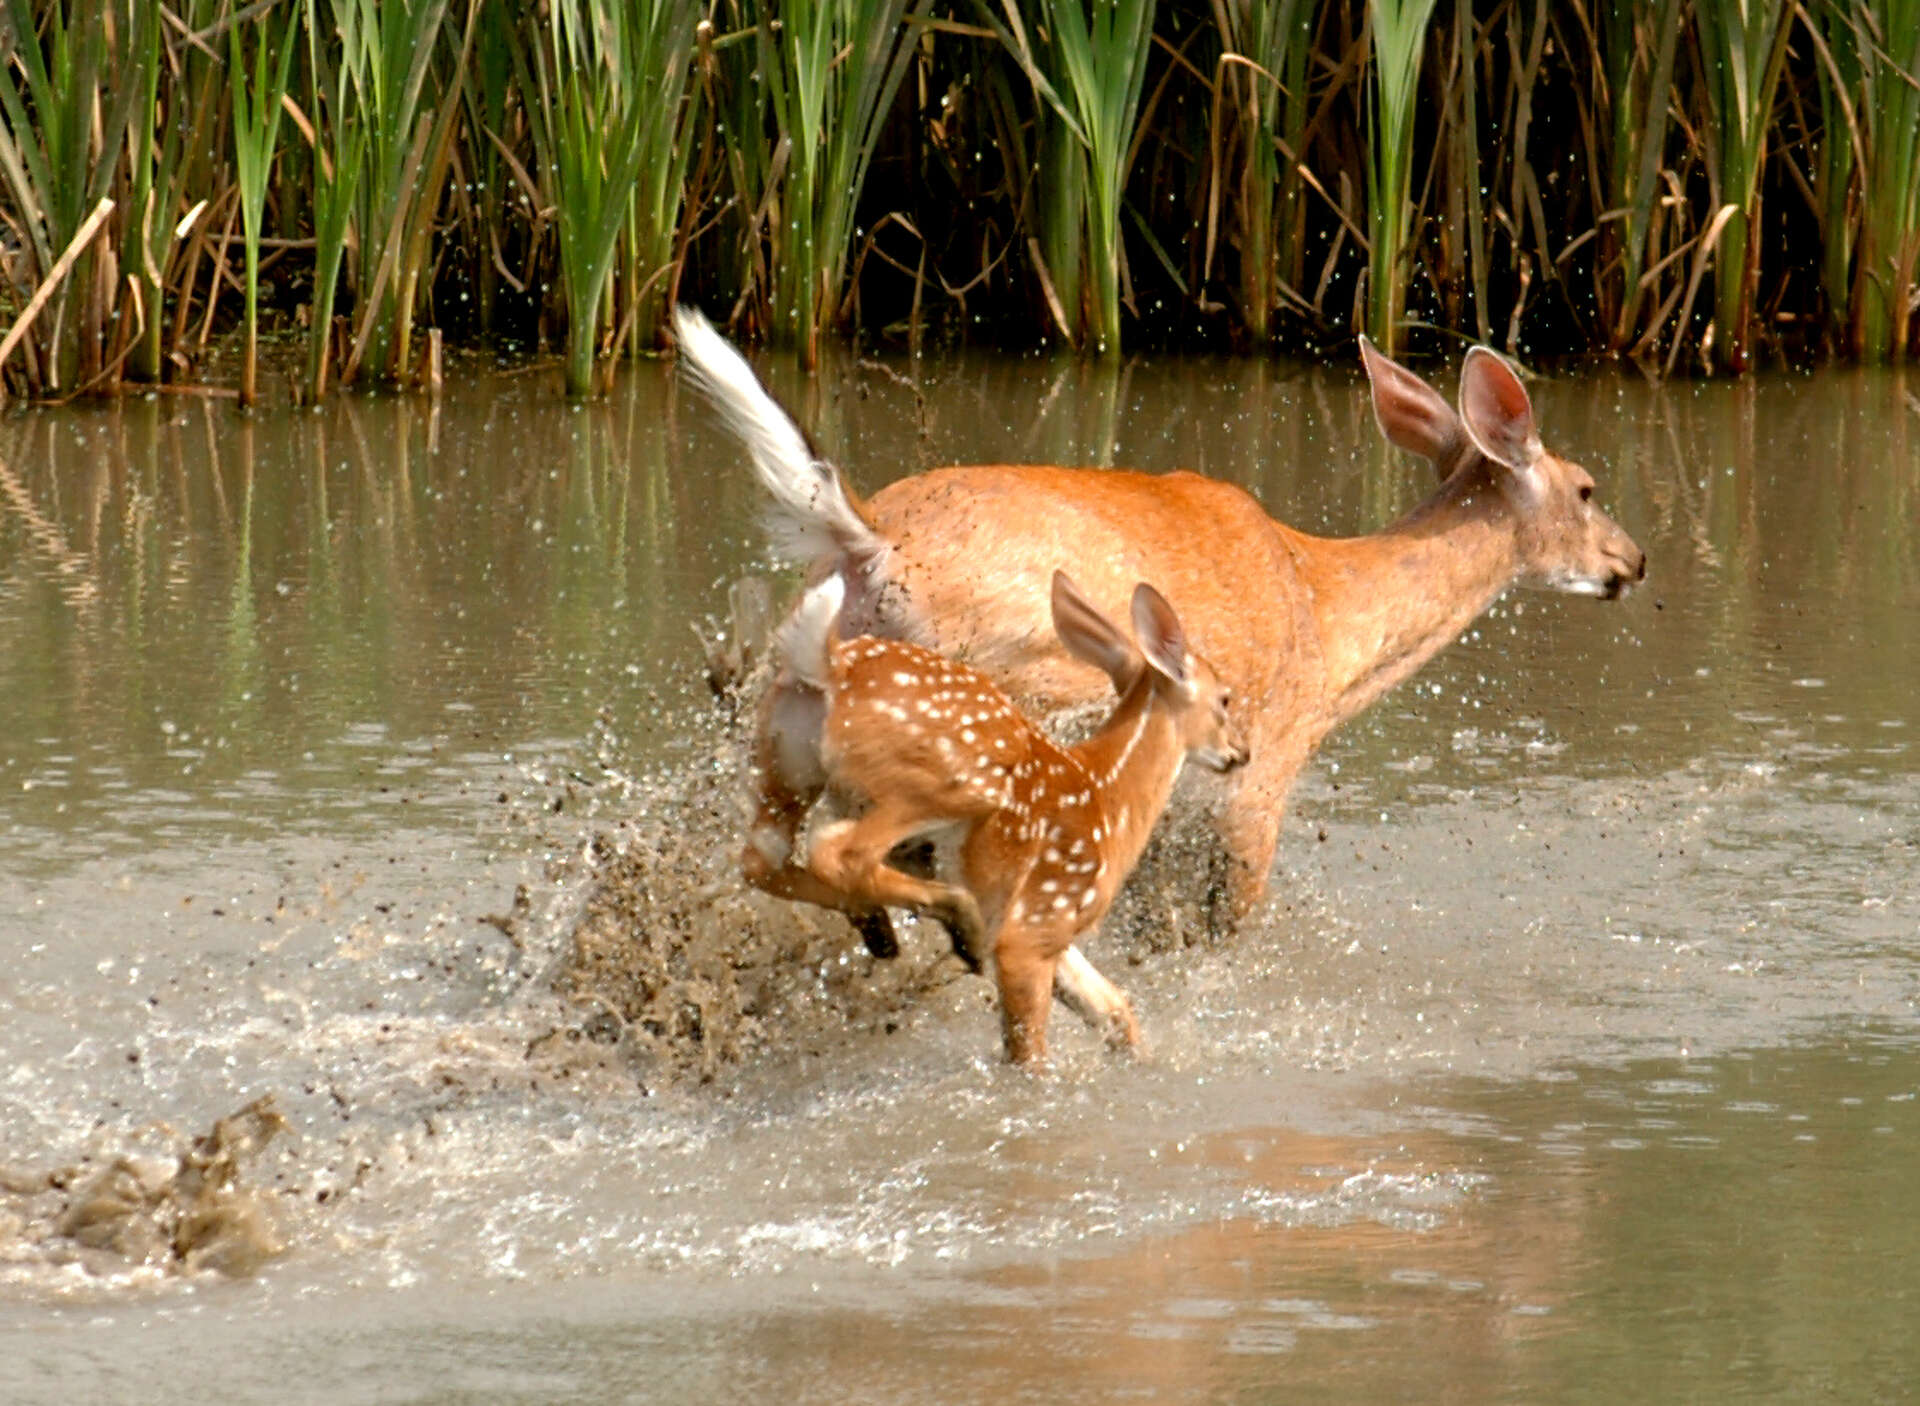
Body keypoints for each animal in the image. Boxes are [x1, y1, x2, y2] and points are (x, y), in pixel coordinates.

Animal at [743, 567, 1249, 1064]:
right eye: (1225, 699)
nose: (1241, 752)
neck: (1110, 801)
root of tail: (832, 665)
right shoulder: (1036, 919)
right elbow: (1029, 1052)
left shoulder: (1050, 929)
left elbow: (1114, 1010)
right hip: (946, 785)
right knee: (837, 851)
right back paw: (956, 922)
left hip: (786, 764)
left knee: (761, 858)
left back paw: (883, 929)